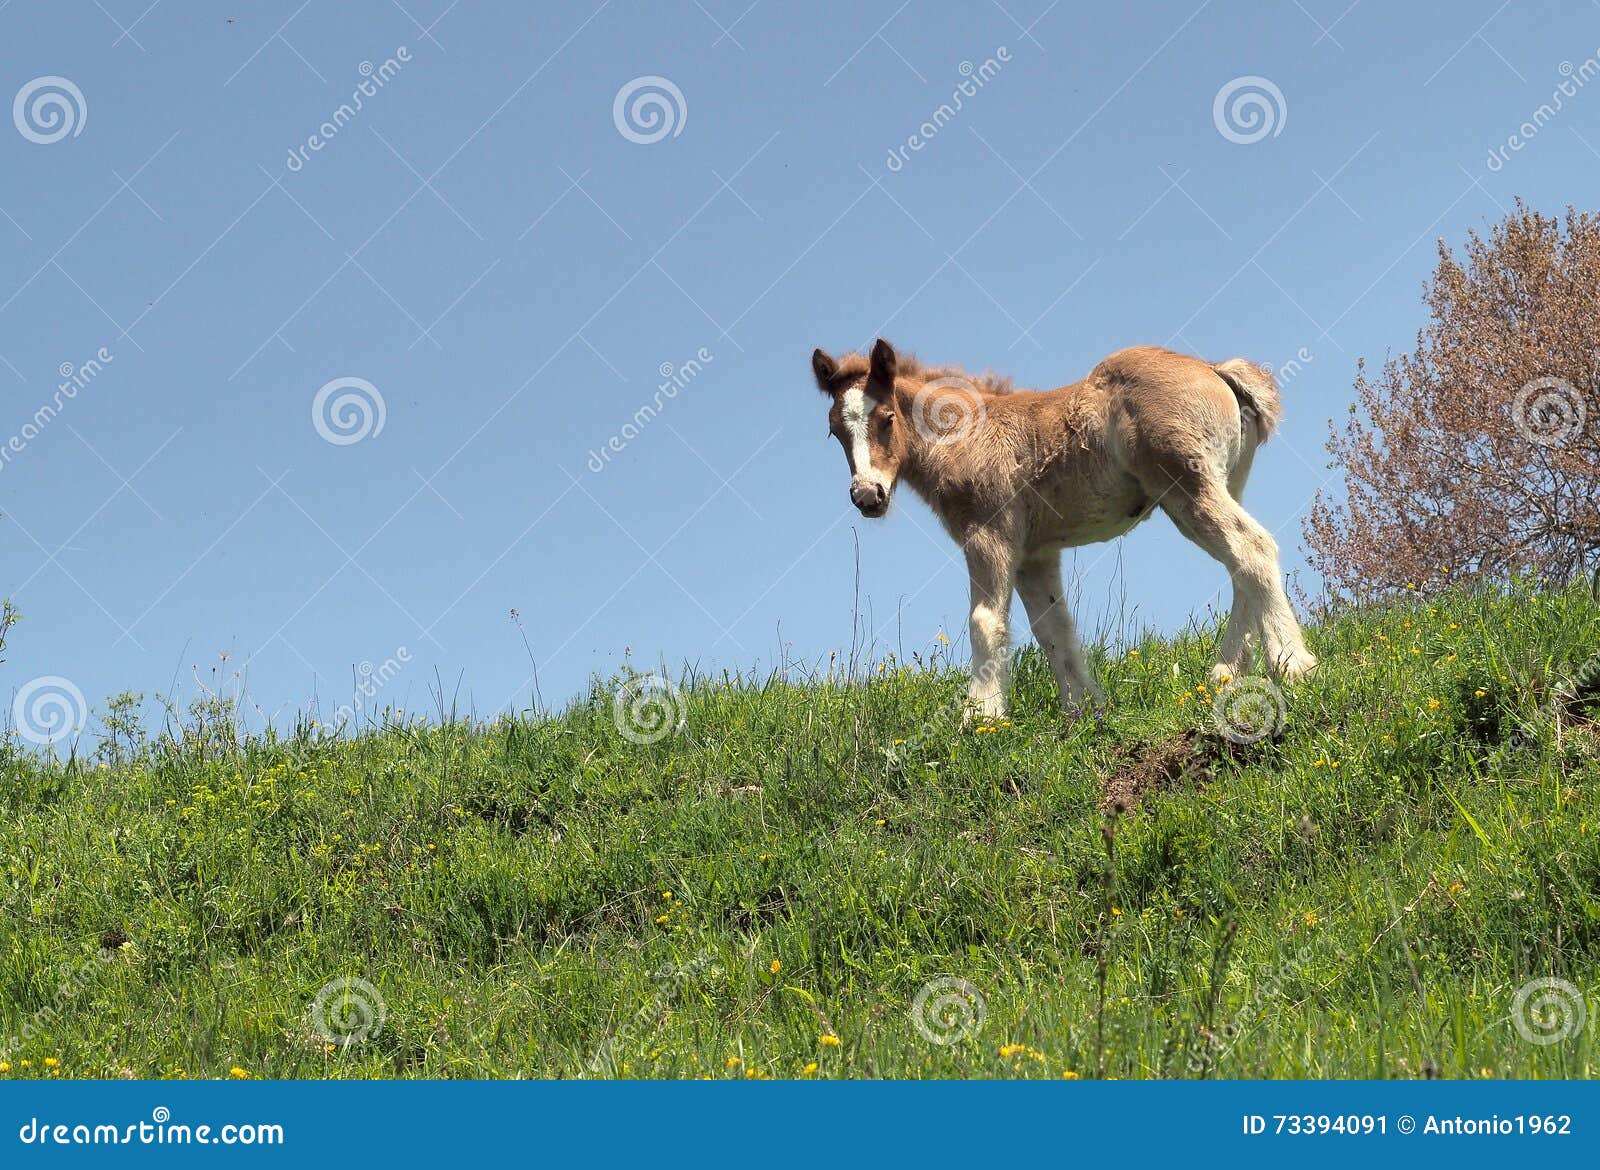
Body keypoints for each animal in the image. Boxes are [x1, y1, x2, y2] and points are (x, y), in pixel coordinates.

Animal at [810, 338, 1317, 720]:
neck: (966, 437)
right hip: (1223, 484)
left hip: (1187, 488)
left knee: (1251, 547)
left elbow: (985, 621)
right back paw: (1226, 674)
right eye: (834, 430)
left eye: (886, 418)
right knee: (1240, 565)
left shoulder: (989, 535)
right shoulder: (1034, 555)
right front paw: (1084, 710)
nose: (867, 496)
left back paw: (1292, 666)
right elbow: (1053, 629)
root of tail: (1215, 370)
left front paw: (980, 717)